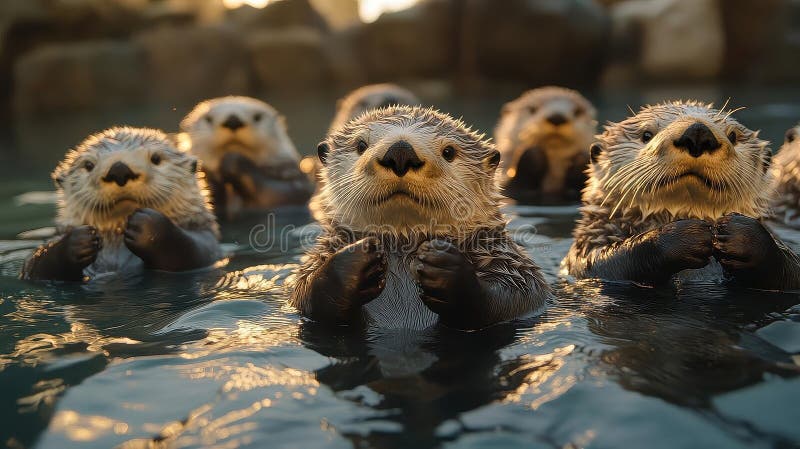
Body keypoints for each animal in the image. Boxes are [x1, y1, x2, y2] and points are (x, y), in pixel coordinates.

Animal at [21, 127, 221, 282]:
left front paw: (147, 225)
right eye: (88, 165)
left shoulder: (206, 245)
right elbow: (35, 266)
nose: (119, 170)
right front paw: (80, 239)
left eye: (156, 158)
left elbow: (190, 251)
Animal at [180, 96, 313, 220]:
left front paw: (232, 159)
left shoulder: (291, 176)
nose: (233, 121)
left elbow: (283, 192)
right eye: (208, 119)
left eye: (258, 117)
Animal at [289, 106, 549, 330]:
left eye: (449, 152)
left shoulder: (514, 270)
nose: (400, 152)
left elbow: (503, 301)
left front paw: (442, 265)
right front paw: (357, 258)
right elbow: (310, 294)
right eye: (360, 145)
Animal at [562, 101, 800, 289]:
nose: (698, 133)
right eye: (646, 135)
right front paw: (685, 235)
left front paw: (740, 234)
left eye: (733, 136)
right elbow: (609, 263)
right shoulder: (588, 252)